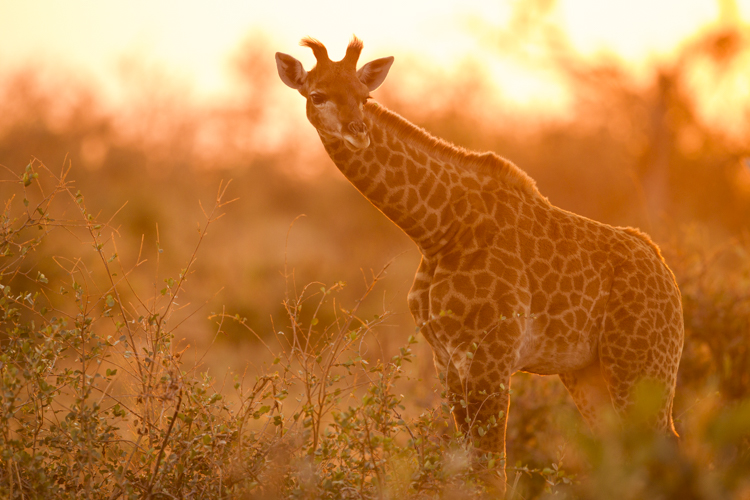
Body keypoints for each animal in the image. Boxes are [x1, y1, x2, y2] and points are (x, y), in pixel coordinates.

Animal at [275, 37, 684, 491]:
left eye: (366, 98)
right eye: (317, 95)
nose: (357, 132)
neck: (437, 231)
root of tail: (665, 271)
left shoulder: (492, 356)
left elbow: (492, 471)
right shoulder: (447, 360)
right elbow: (471, 466)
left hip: (640, 364)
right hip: (588, 371)